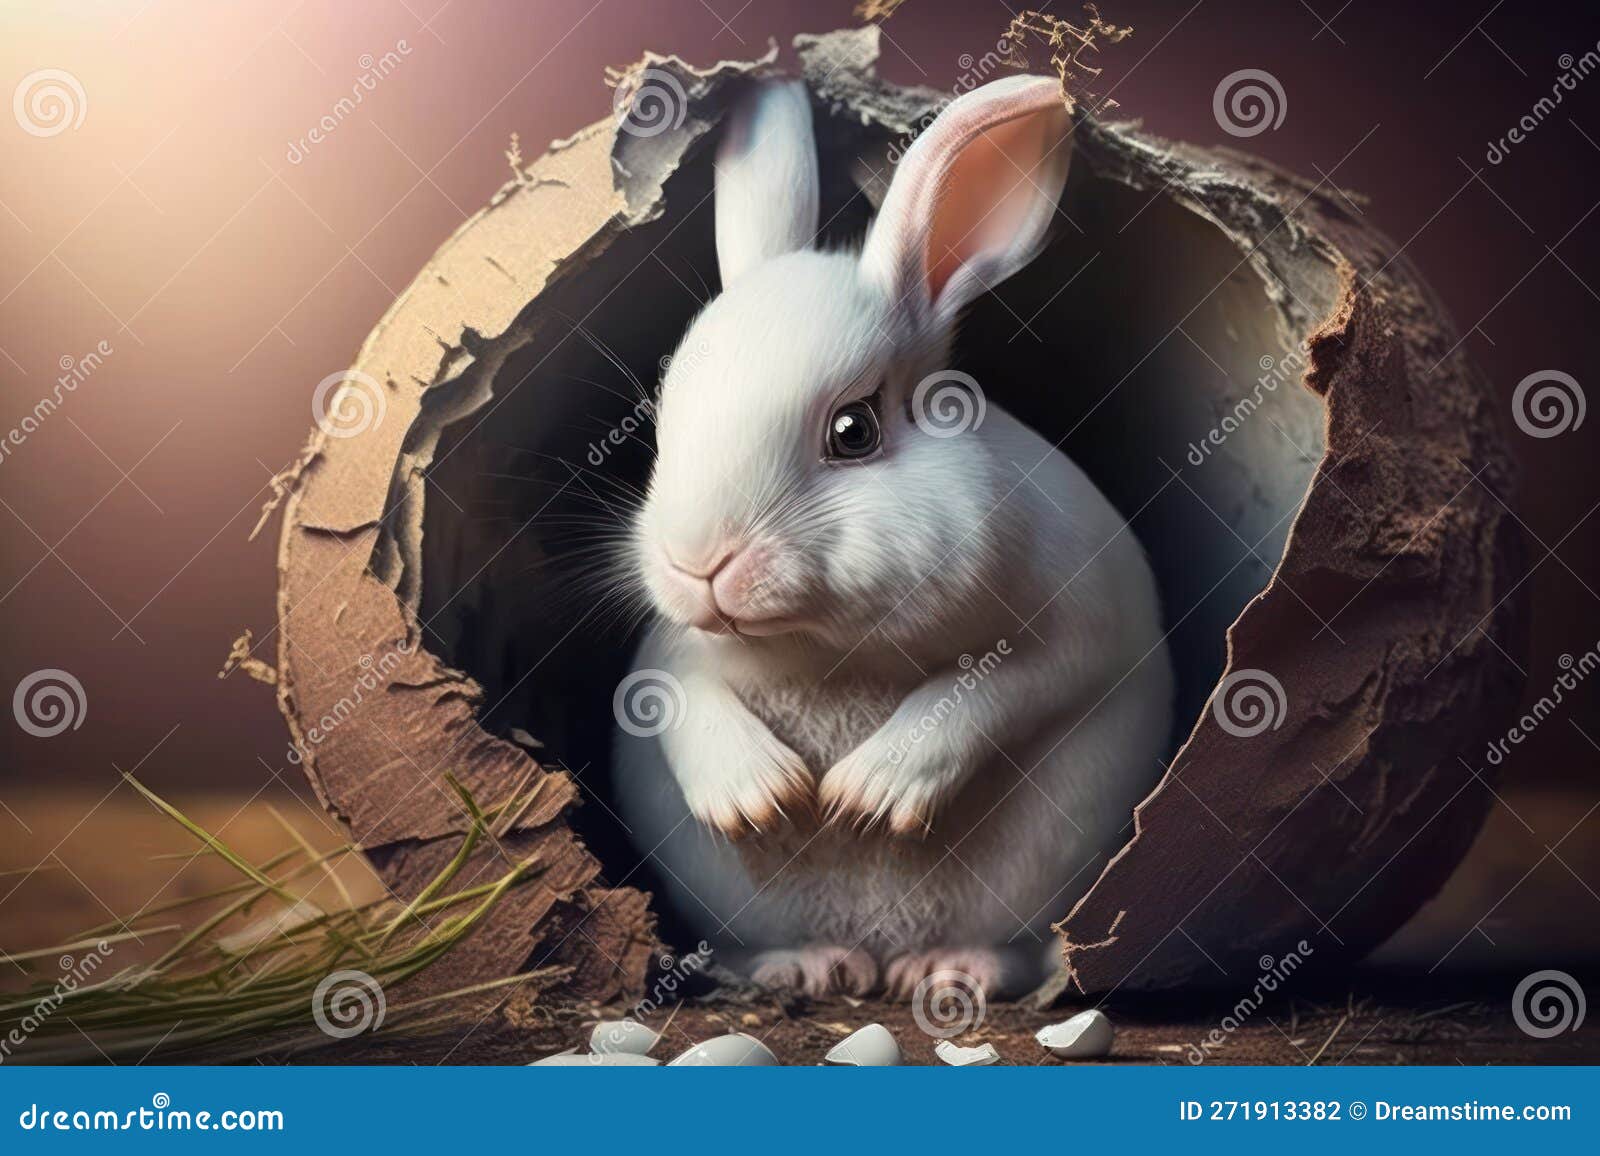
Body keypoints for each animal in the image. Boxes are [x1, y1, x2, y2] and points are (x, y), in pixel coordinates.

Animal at [610, 74, 1173, 1002]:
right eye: (665, 419)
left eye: (854, 430)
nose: (698, 563)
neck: (831, 649)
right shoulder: (672, 653)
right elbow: (679, 697)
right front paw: (762, 798)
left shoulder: (1076, 631)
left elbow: (989, 693)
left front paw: (863, 797)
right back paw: (806, 965)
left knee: (1013, 949)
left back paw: (940, 969)